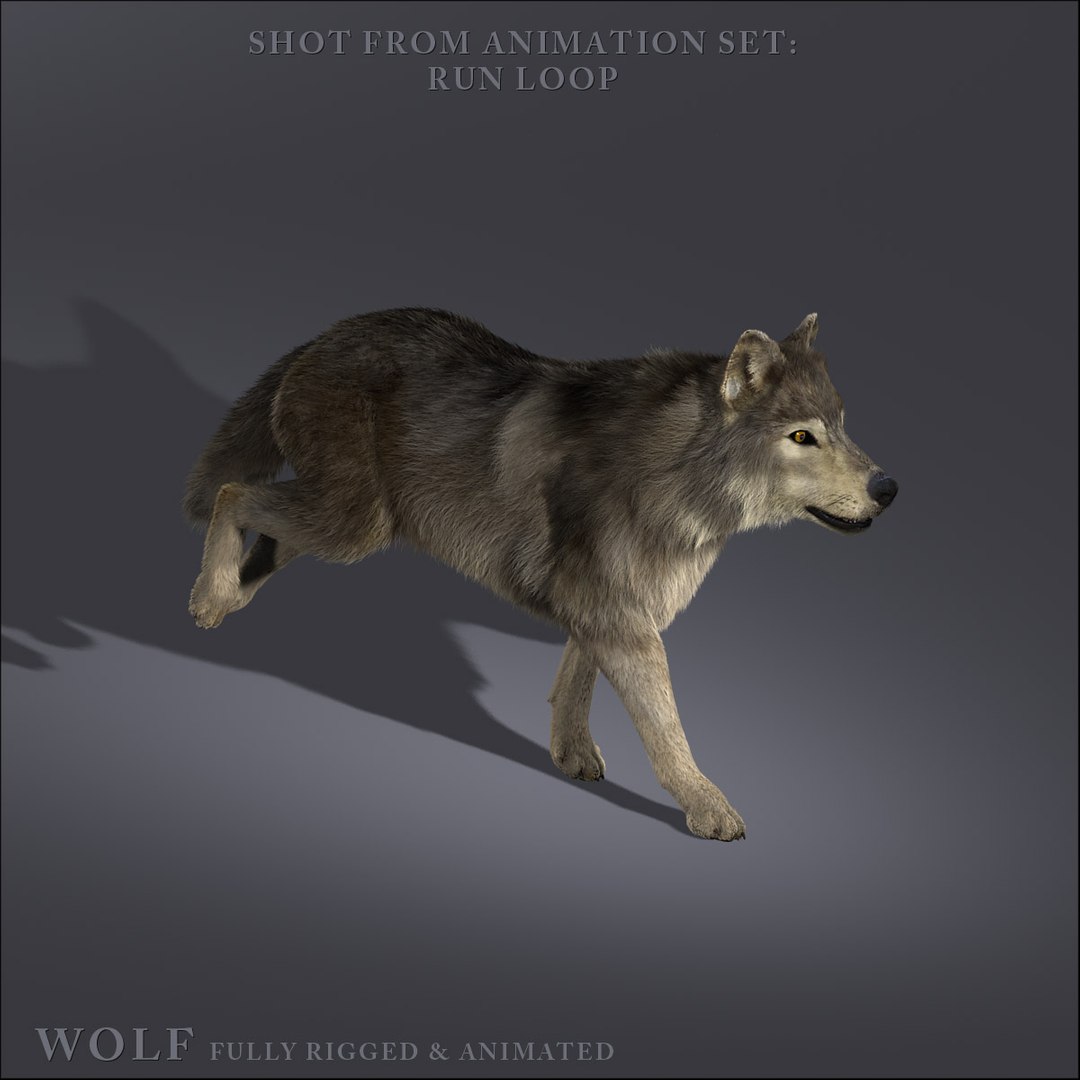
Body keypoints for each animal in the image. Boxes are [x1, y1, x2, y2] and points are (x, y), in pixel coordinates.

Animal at [184, 309, 897, 840]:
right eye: (802, 437)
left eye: (841, 425)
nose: (889, 488)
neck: (673, 468)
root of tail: (322, 336)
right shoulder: (622, 617)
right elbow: (667, 732)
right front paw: (707, 806)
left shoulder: (604, 603)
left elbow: (575, 683)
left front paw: (570, 753)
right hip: (355, 525)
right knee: (230, 493)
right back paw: (208, 600)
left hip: (345, 522)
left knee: (259, 529)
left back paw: (228, 598)